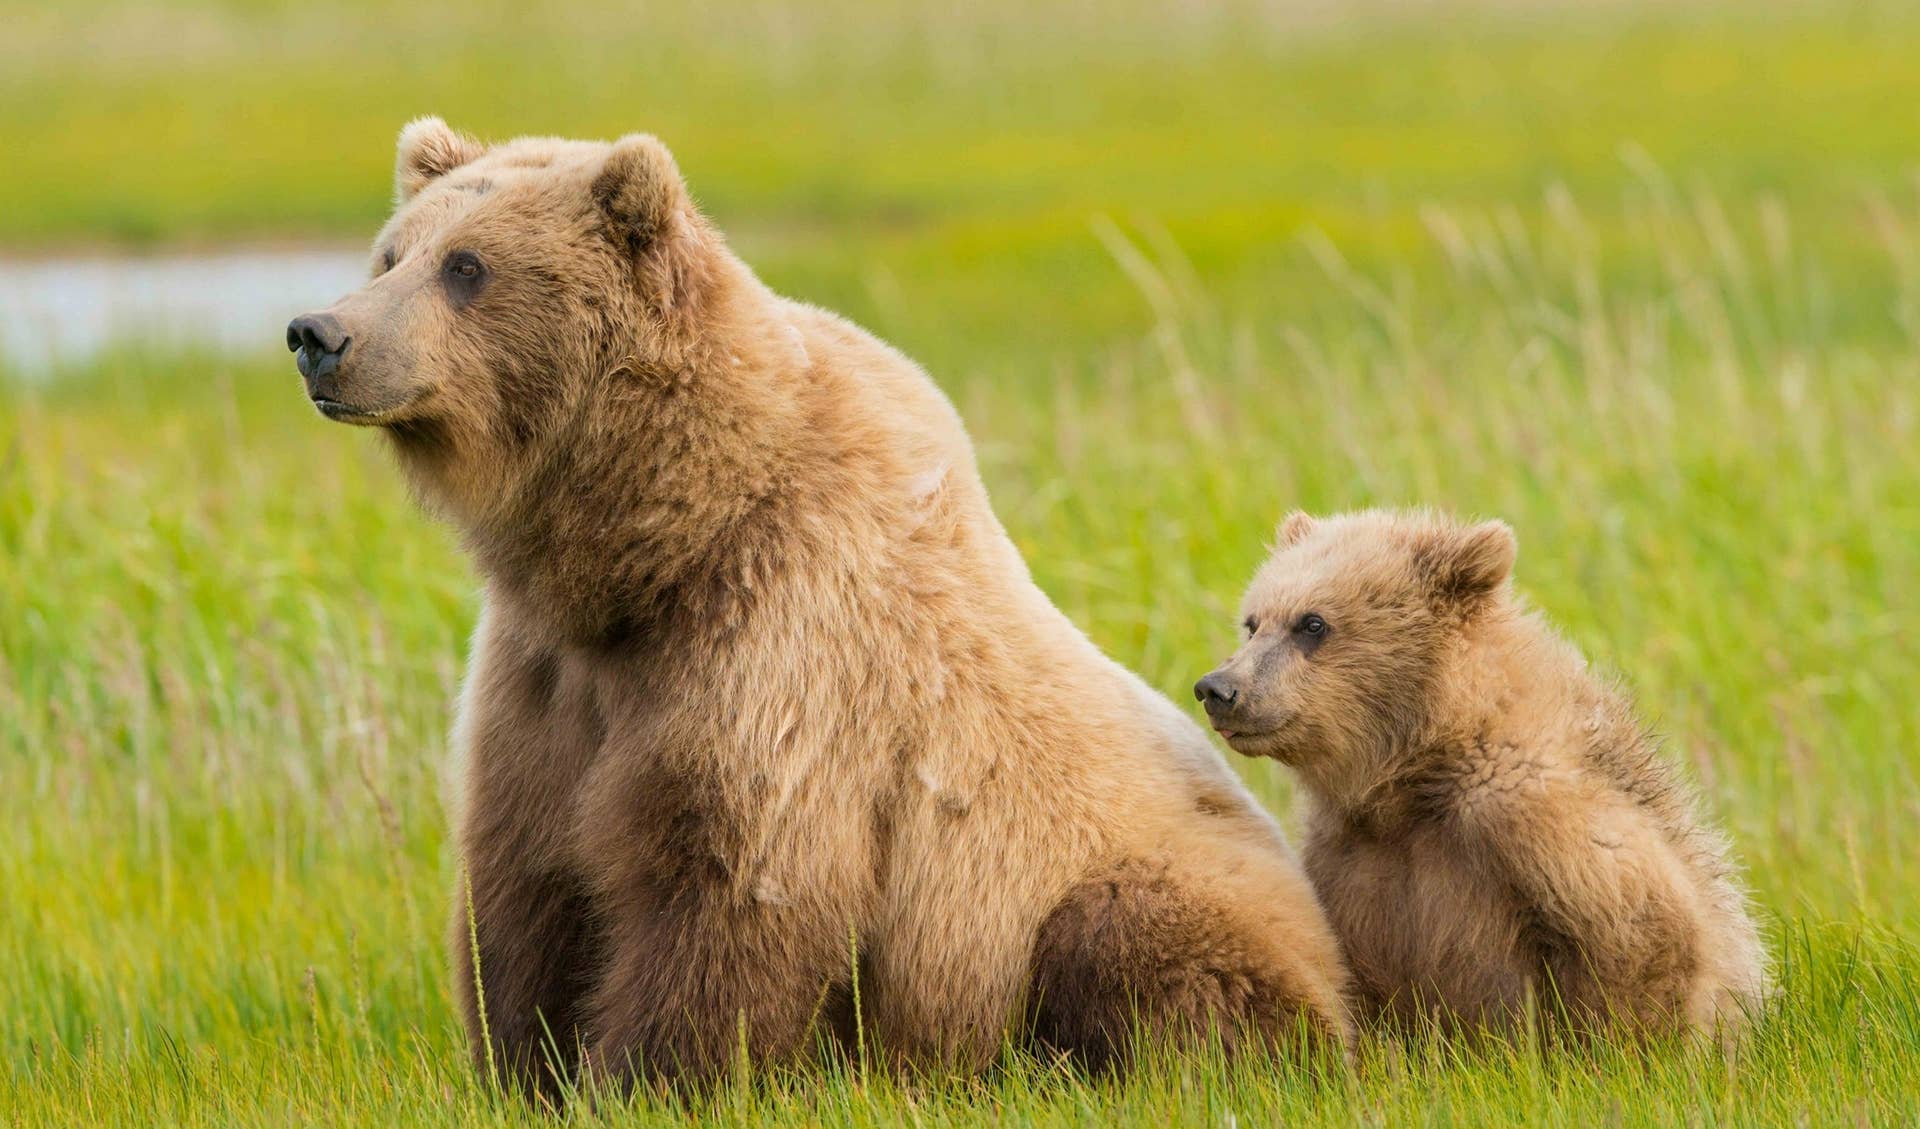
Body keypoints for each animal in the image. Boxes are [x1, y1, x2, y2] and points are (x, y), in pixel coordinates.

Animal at [284, 118, 1352, 1095]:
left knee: (1136, 946)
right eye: (392, 252)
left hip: (1147, 893)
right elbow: (524, 876)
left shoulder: (784, 641)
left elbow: (733, 874)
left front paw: (646, 1074)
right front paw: (525, 1067)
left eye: (468, 266)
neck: (654, 543)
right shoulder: (548, 675)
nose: (319, 335)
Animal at [1192, 509, 1768, 1037]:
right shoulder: (1352, 858)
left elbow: (1643, 935)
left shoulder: (1533, 815)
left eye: (1312, 623)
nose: (1218, 689)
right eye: (1252, 621)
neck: (1418, 772)